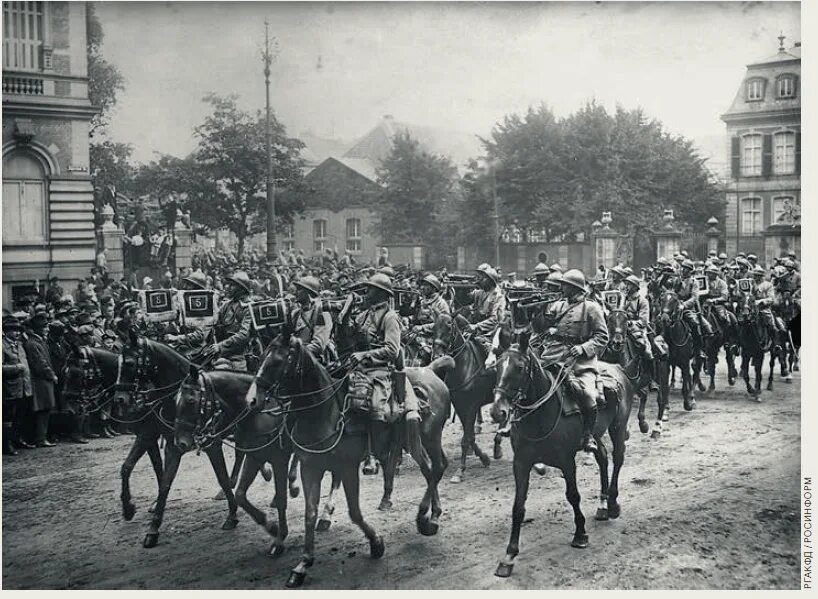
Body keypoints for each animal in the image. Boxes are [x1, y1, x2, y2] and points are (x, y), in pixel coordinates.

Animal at [113, 330, 244, 552]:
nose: (120, 399)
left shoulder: (211, 444)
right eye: (118, 363)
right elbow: (146, 474)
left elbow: (222, 477)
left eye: (129, 363)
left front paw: (232, 514)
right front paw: (138, 516)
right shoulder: (161, 440)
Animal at [249, 336, 452, 588]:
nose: (252, 400)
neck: (325, 412)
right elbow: (310, 514)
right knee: (430, 469)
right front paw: (303, 564)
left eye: (277, 361)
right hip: (415, 441)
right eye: (261, 357)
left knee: (438, 467)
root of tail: (430, 370)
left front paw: (376, 544)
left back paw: (425, 519)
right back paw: (432, 515)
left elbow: (354, 512)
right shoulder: (310, 468)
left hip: (430, 436)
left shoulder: (347, 468)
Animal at [488, 330, 636, 580]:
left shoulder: (567, 462)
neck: (539, 415)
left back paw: (613, 503)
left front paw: (580, 534)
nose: (498, 411)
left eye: (520, 367)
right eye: (497, 366)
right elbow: (518, 507)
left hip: (617, 427)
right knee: (602, 456)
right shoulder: (521, 464)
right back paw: (603, 504)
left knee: (617, 459)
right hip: (596, 434)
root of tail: (617, 368)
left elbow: (573, 495)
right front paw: (509, 556)